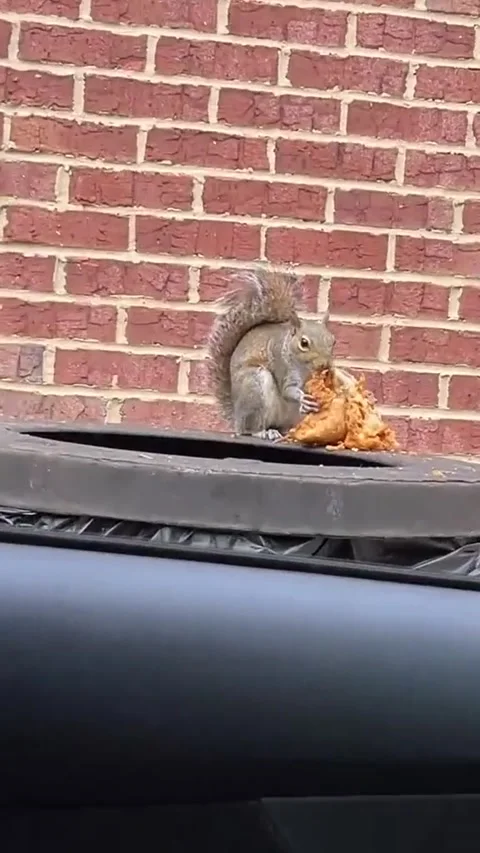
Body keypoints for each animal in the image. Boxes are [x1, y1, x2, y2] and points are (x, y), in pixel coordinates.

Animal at [207, 268, 335, 440]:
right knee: (250, 427)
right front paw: (302, 398)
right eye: (304, 343)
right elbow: (287, 390)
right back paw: (263, 432)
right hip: (254, 387)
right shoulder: (282, 364)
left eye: (333, 341)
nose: (325, 365)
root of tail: (236, 418)